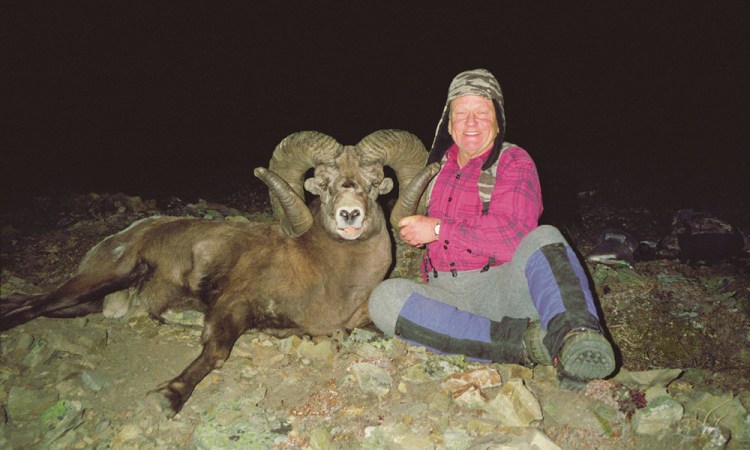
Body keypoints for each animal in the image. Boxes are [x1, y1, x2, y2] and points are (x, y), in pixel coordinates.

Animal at [0, 129, 440, 418]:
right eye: (324, 184)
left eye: (374, 183)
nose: (350, 215)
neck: (328, 274)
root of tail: (121, 237)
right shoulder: (231, 306)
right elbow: (215, 353)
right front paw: (168, 397)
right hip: (101, 279)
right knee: (33, 306)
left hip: (86, 302)